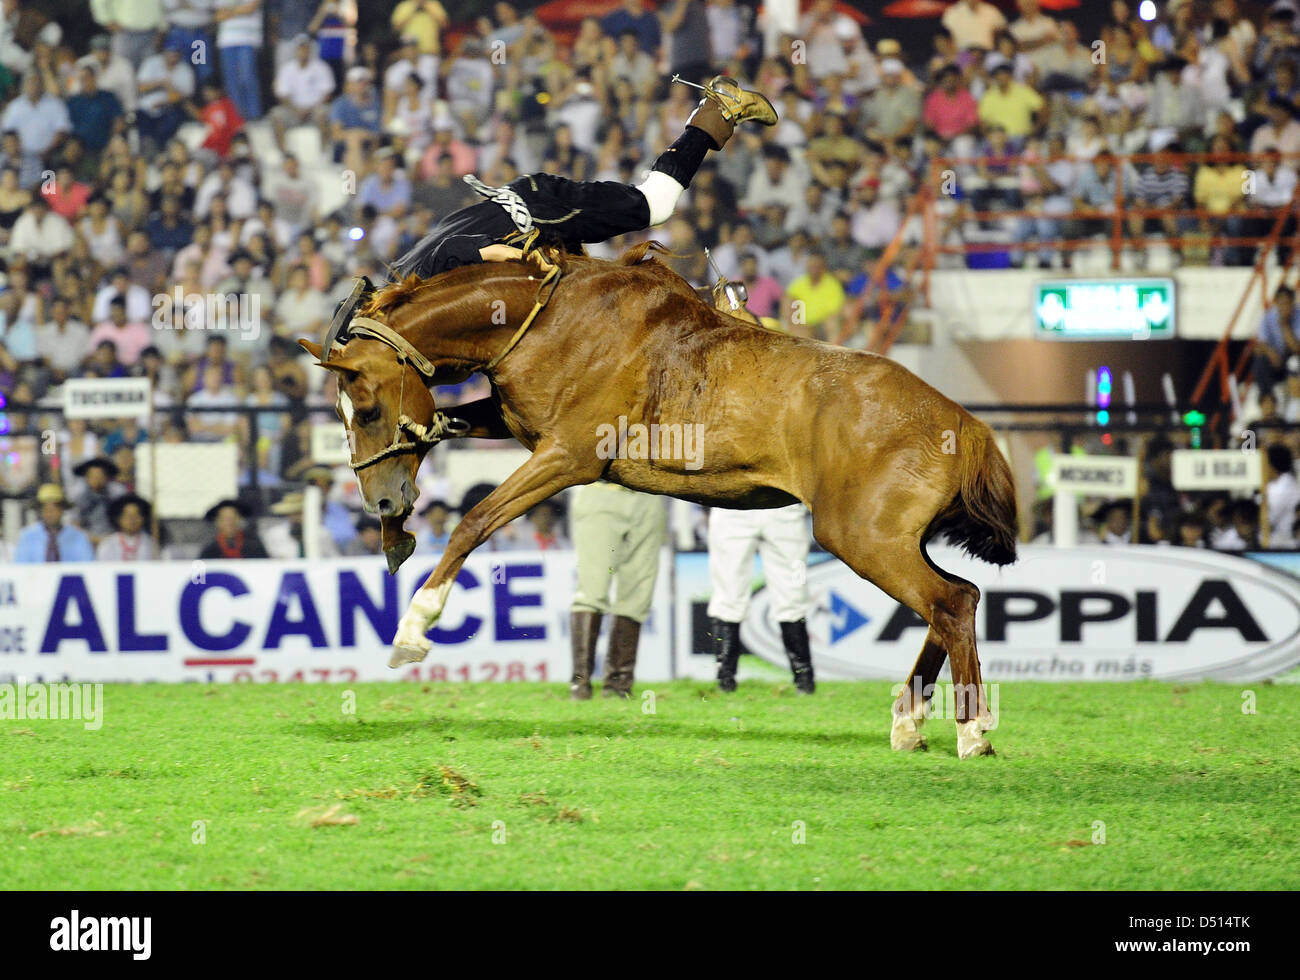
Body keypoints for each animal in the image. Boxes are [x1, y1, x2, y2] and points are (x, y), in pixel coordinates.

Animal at [299, 245, 1019, 758]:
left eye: (366, 407)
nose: (383, 503)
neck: (549, 317)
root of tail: (962, 422)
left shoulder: (567, 455)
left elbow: (475, 521)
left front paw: (413, 628)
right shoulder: (516, 425)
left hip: (862, 536)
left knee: (952, 602)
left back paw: (970, 730)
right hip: (889, 540)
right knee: (951, 600)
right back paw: (911, 721)